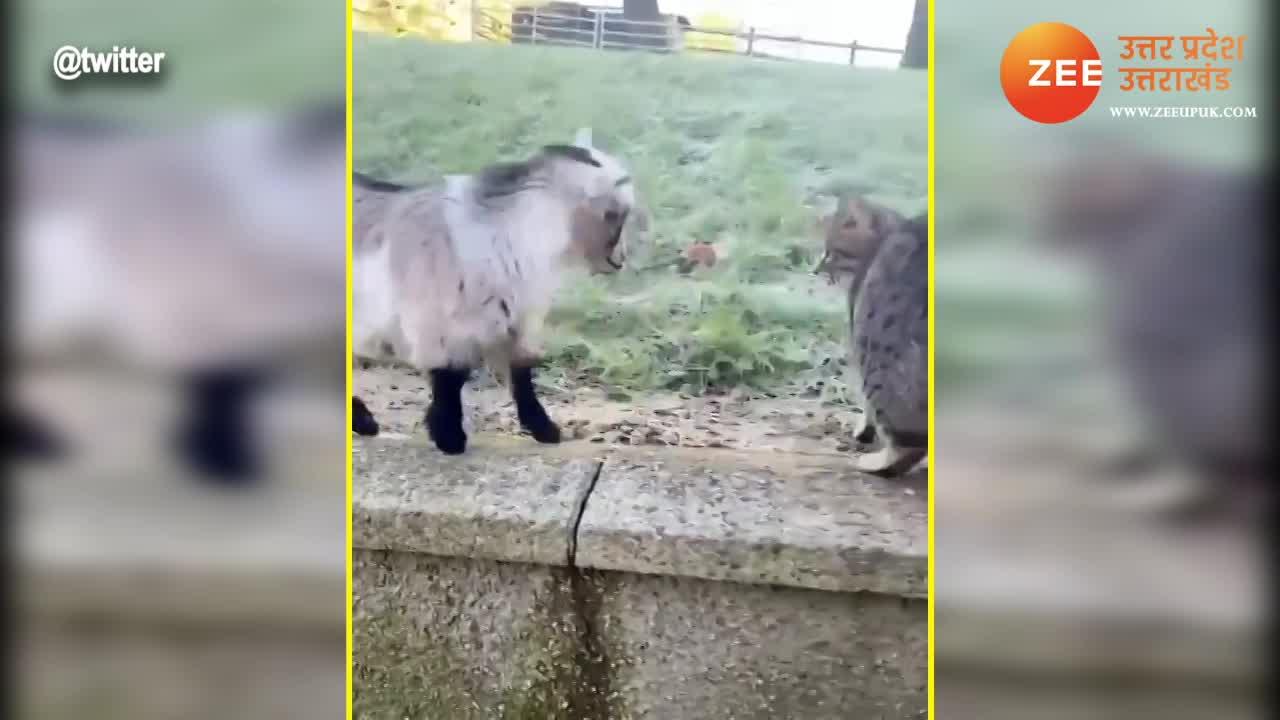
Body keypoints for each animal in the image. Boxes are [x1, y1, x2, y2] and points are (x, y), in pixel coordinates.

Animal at [352, 128, 638, 454]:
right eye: (614, 215)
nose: (621, 260)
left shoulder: (515, 320)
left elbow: (522, 375)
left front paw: (544, 429)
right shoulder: (441, 324)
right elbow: (449, 379)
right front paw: (449, 436)